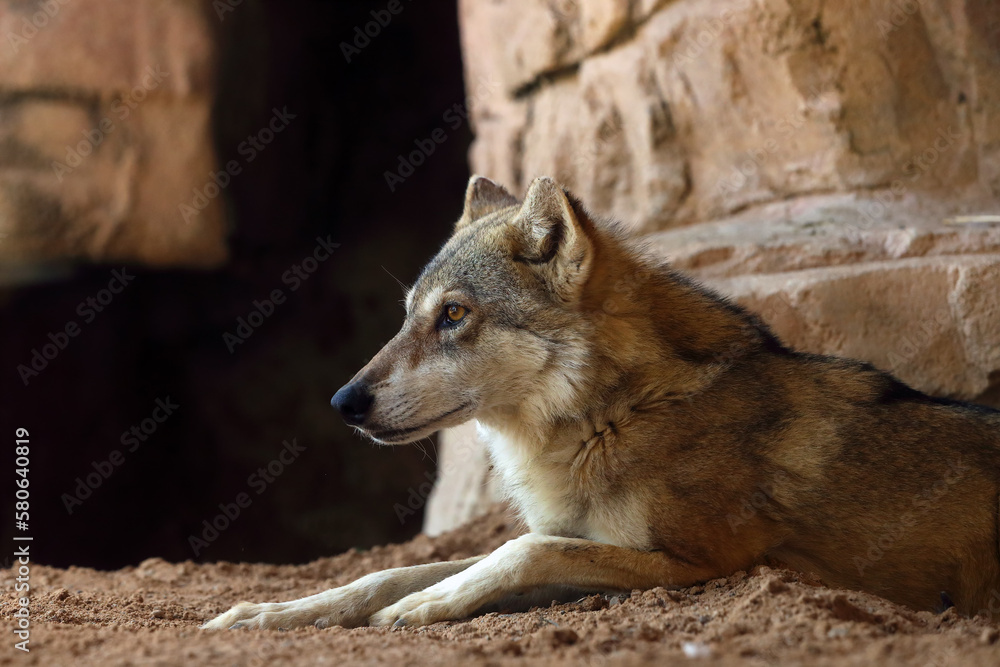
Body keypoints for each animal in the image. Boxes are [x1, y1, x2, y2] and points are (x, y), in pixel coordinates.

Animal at [203, 175, 1000, 631]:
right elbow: (388, 571)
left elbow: (520, 549)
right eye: (406, 318)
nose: (344, 400)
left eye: (453, 315)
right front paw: (266, 612)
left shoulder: (707, 565)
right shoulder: (588, 539)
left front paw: (422, 609)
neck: (610, 418)